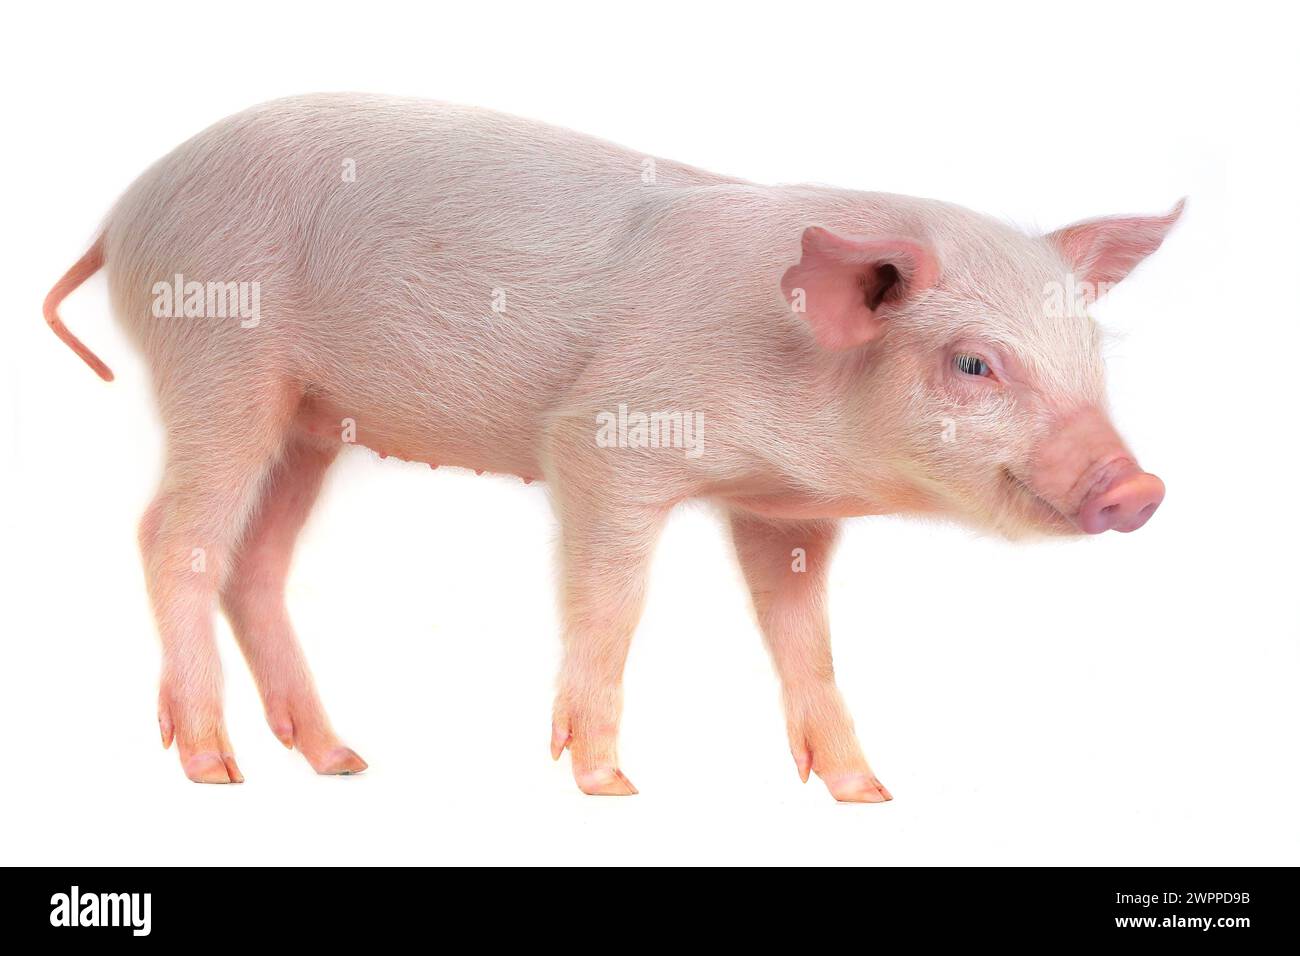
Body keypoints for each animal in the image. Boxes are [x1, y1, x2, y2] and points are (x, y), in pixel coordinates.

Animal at [44, 94, 1182, 799]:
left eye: (1091, 352)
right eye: (974, 363)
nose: (1138, 487)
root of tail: (124, 210)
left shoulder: (783, 509)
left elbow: (803, 638)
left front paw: (867, 794)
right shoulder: (606, 440)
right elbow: (614, 601)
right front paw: (611, 783)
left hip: (311, 419)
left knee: (256, 560)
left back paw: (343, 761)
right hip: (217, 361)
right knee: (171, 534)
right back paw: (213, 767)